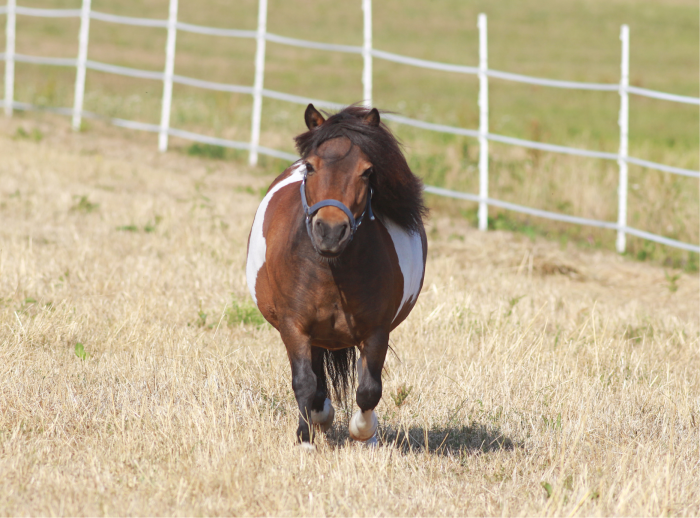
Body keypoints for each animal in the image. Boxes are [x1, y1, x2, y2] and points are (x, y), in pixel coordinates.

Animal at [246, 104, 427, 448]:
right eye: (311, 167)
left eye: (367, 172)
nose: (330, 231)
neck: (332, 272)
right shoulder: (294, 327)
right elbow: (305, 383)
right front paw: (306, 437)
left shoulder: (376, 332)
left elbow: (369, 390)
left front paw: (364, 432)